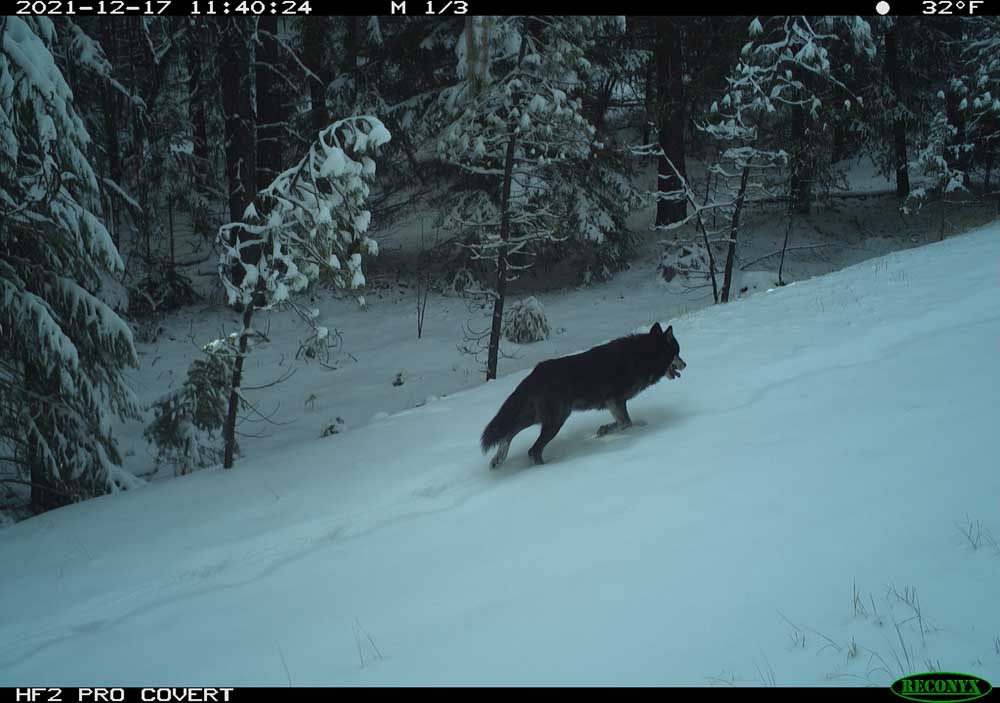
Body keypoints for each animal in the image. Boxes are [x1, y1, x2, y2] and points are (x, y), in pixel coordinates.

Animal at [480, 322, 686, 468]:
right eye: (677, 352)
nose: (685, 364)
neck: (644, 354)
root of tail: (534, 373)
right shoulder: (616, 401)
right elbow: (625, 423)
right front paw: (608, 430)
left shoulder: (615, 404)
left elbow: (626, 422)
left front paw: (608, 429)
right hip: (556, 420)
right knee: (533, 451)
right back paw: (547, 466)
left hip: (537, 417)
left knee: (508, 434)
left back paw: (498, 459)